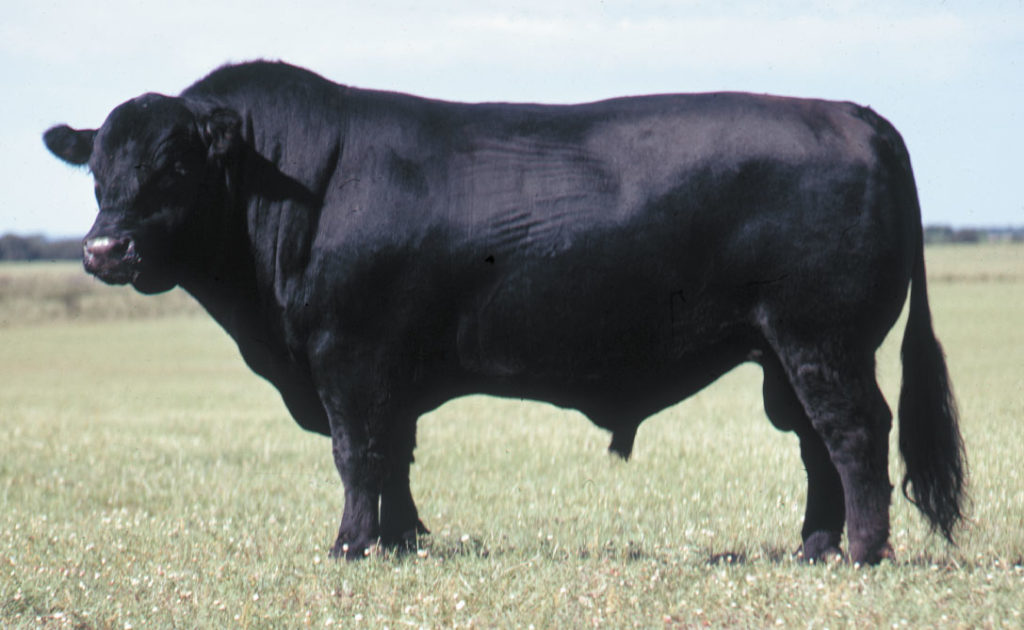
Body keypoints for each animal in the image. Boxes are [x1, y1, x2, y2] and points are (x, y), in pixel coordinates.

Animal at [43, 61, 965, 564]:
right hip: (784, 352)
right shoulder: (389, 369)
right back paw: (813, 546)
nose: (103, 251)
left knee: (852, 434)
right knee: (814, 444)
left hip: (823, 341)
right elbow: (396, 455)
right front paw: (403, 538)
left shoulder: (350, 357)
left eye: (175, 165)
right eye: (97, 171)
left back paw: (860, 551)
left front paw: (351, 545)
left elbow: (358, 453)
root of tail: (849, 113)